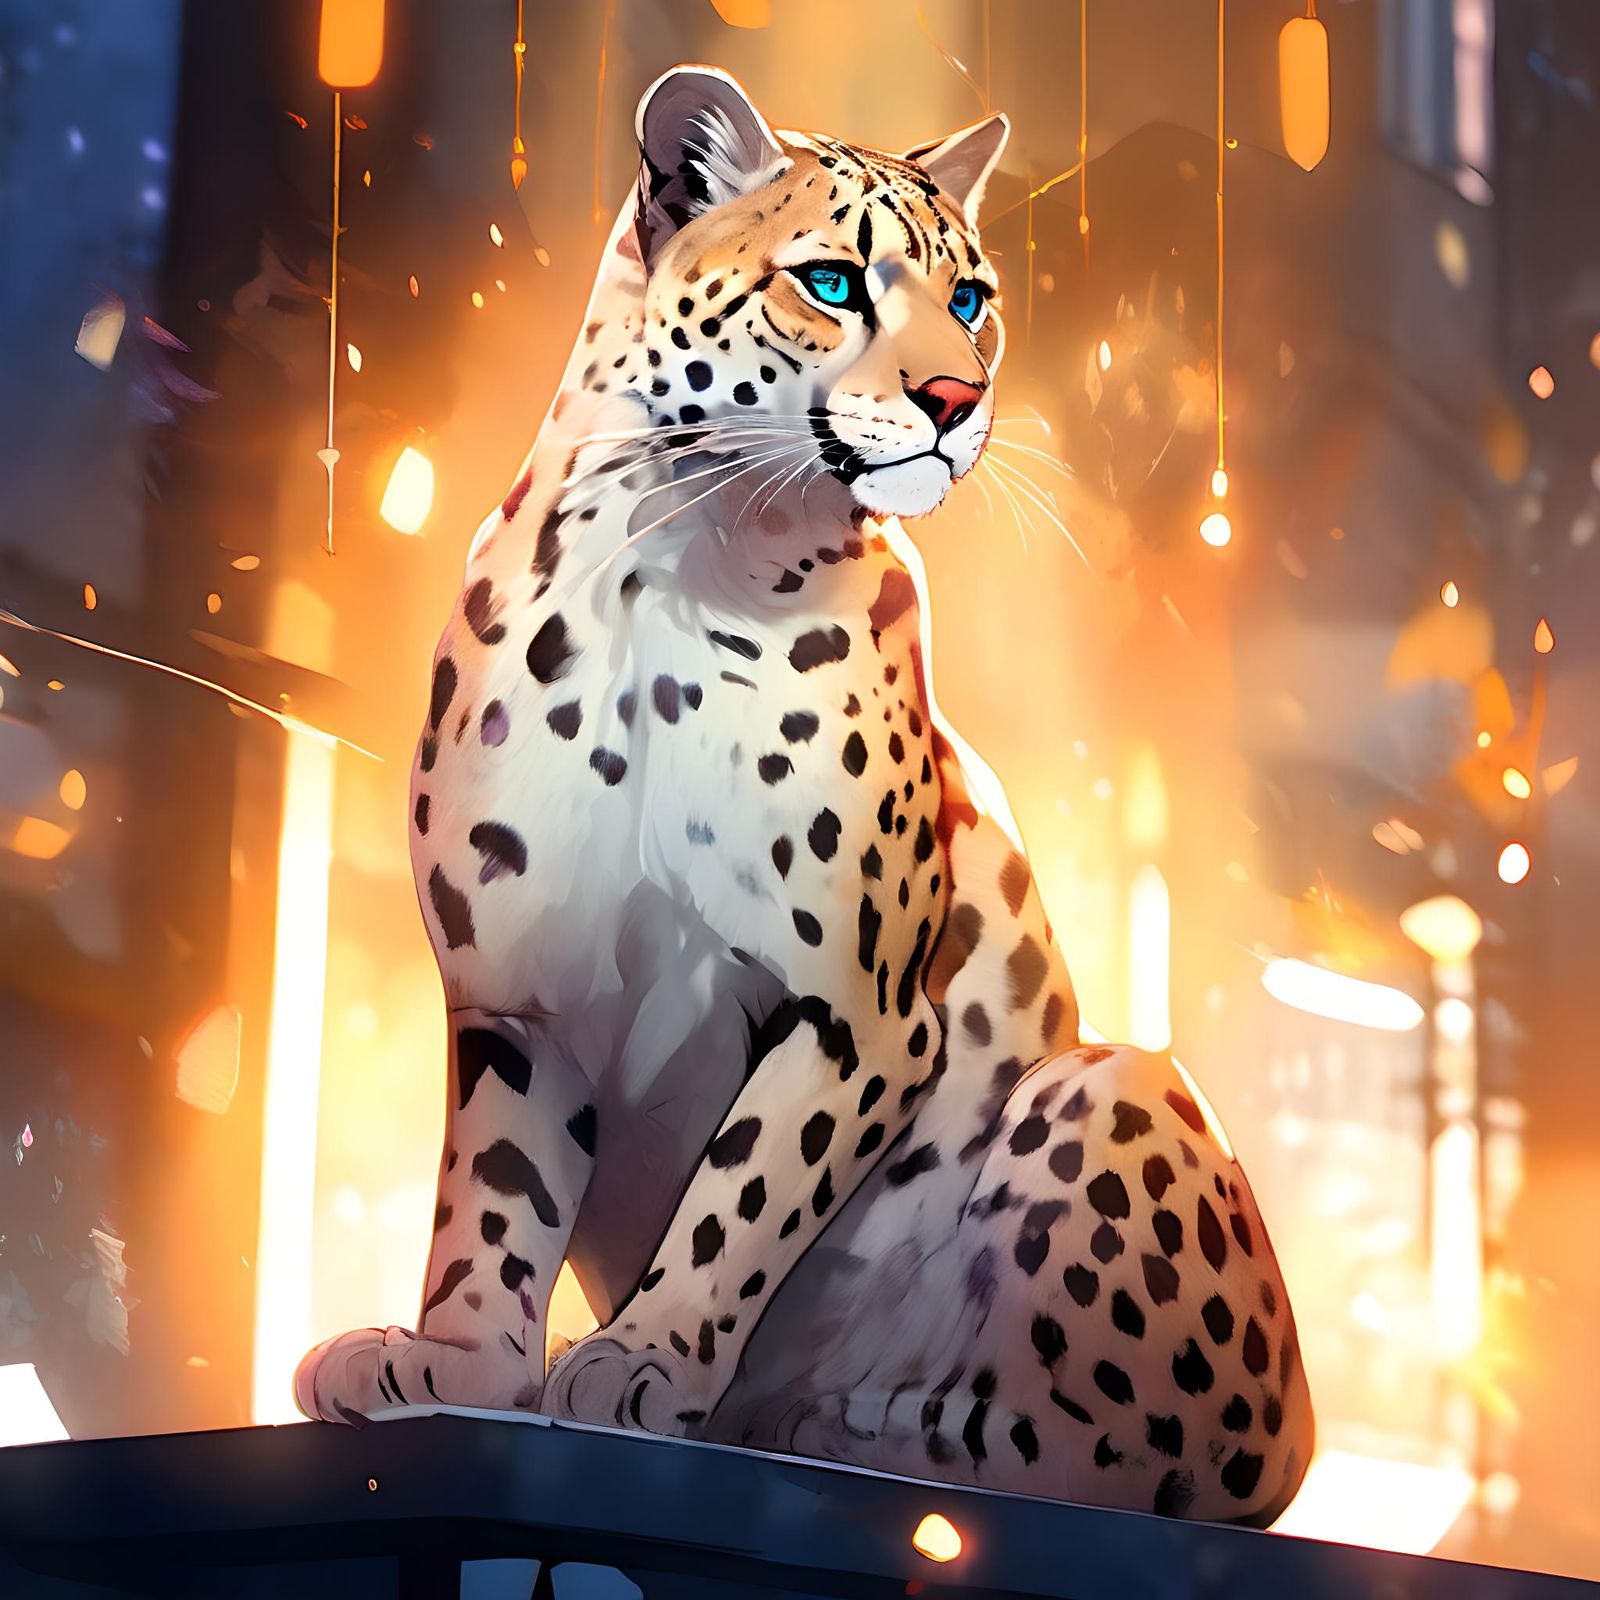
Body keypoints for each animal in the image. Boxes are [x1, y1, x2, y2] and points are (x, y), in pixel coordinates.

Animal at [294, 64, 1313, 1527]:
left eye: (970, 298)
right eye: (832, 282)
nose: (953, 396)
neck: (664, 552)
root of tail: (1301, 1432)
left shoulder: (857, 1006)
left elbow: (748, 1186)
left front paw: (644, 1361)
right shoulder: (518, 992)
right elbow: (492, 1195)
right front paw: (457, 1361)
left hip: (1117, 1088)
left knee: (1137, 1458)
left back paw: (859, 1426)